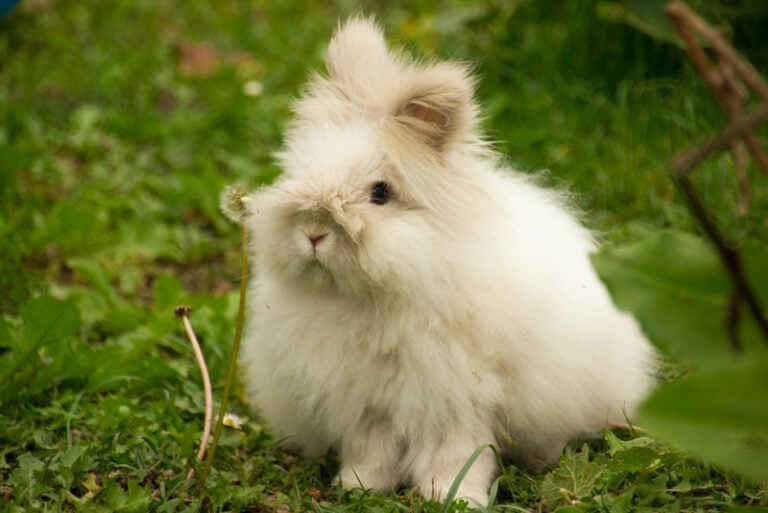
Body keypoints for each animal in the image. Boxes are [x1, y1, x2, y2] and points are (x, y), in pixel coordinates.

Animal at [239, 17, 655, 507]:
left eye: (380, 193)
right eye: (298, 173)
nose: (313, 234)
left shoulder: (457, 397)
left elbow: (457, 452)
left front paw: (454, 497)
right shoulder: (368, 402)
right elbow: (371, 447)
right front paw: (360, 485)